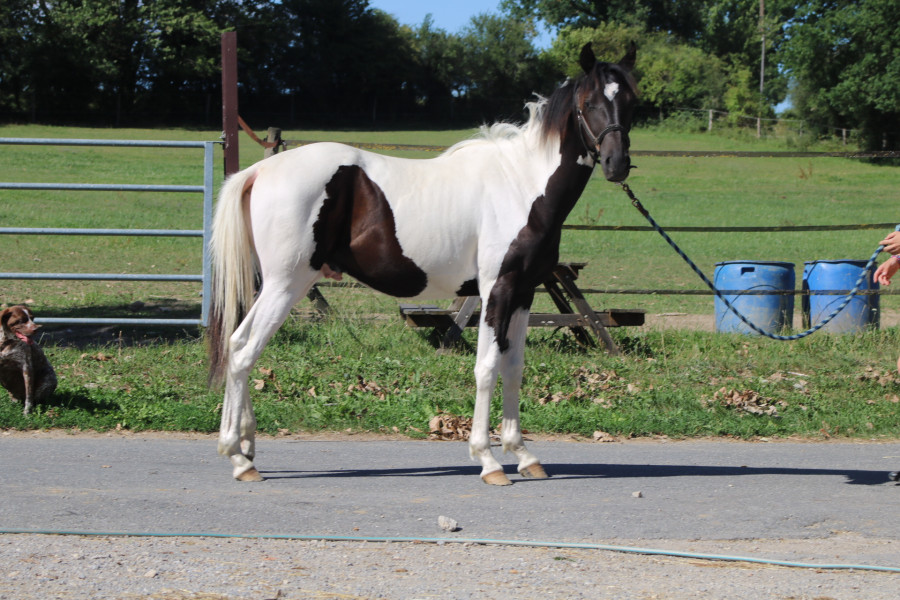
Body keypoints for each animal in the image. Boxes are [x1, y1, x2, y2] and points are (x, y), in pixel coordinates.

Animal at [208, 43, 638, 485]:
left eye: (629, 101)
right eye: (588, 103)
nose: (616, 163)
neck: (522, 184)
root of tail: (260, 170)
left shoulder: (523, 293)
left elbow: (514, 367)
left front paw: (523, 454)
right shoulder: (496, 291)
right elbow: (487, 368)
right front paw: (487, 460)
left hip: (275, 286)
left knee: (238, 344)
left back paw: (245, 448)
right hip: (286, 284)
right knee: (244, 353)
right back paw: (239, 459)